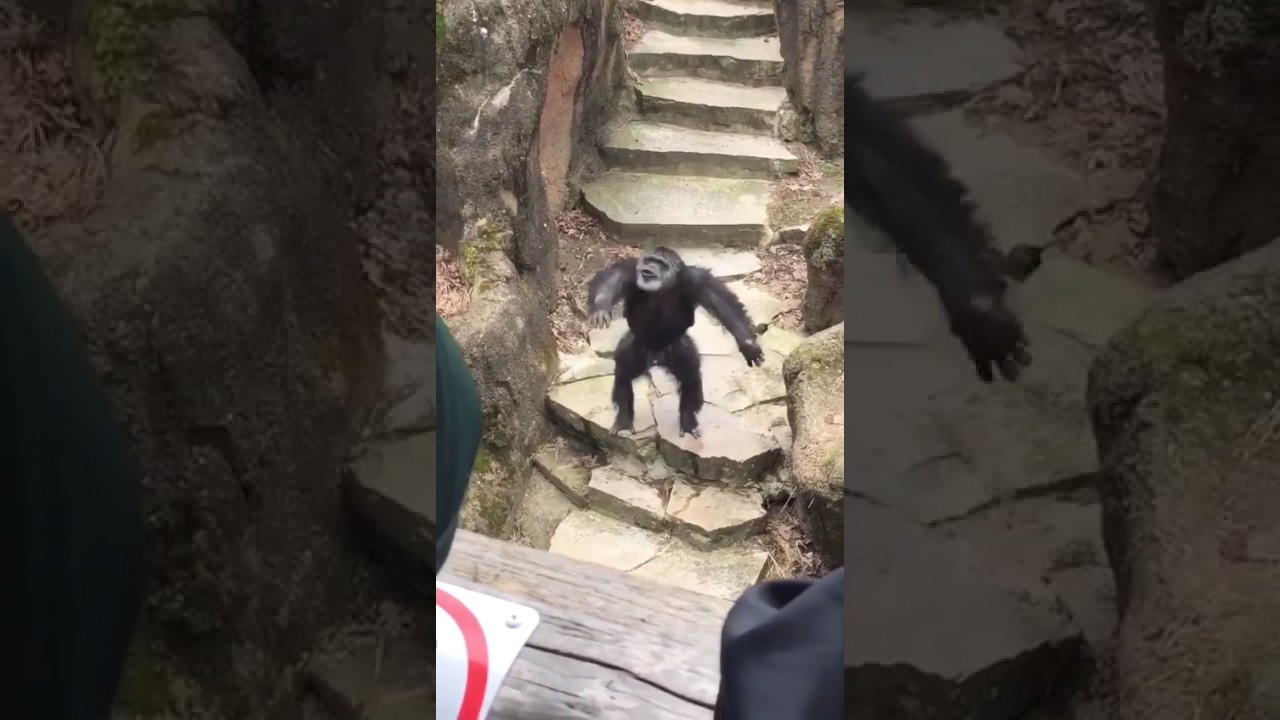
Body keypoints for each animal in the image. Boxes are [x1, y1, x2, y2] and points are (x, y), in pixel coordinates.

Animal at [586, 247, 764, 439]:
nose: (649, 267)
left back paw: (688, 423)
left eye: (660, 263)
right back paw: (624, 420)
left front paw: (748, 345)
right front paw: (600, 308)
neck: (662, 288)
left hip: (678, 349)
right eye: (649, 260)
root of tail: (656, 357)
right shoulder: (632, 272)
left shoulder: (697, 281)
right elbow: (614, 277)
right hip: (637, 347)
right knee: (624, 374)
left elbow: (721, 302)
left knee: (690, 378)